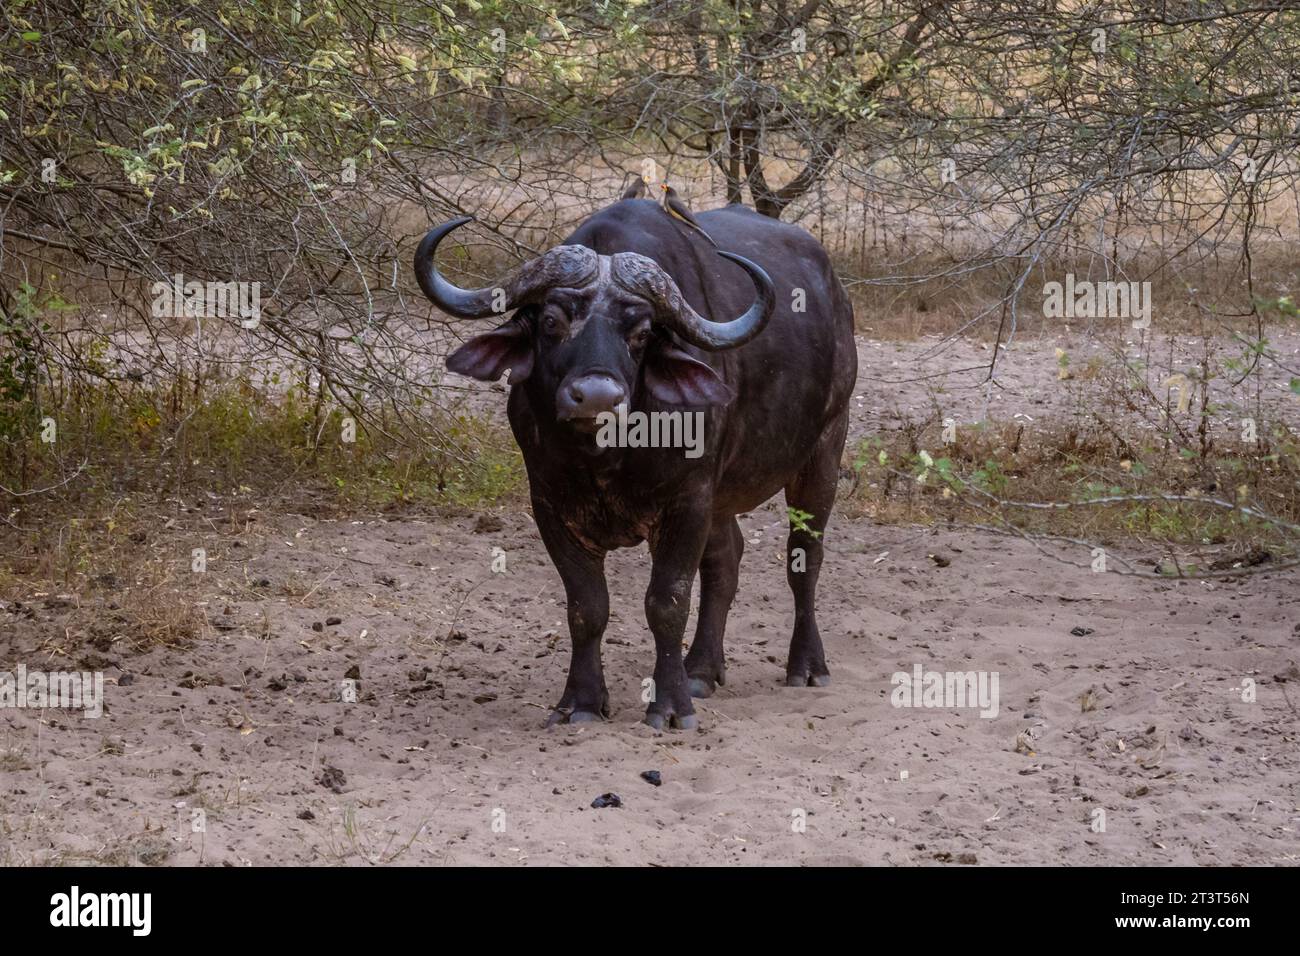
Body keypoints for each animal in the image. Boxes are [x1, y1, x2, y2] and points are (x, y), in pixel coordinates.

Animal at [414, 194, 857, 729]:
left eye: (642, 332)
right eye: (551, 321)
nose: (597, 397)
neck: (607, 457)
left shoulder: (687, 500)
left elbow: (667, 602)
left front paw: (669, 706)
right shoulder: (550, 503)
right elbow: (587, 605)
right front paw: (582, 702)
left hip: (824, 451)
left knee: (803, 559)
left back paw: (806, 666)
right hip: (724, 496)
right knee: (725, 560)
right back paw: (701, 670)